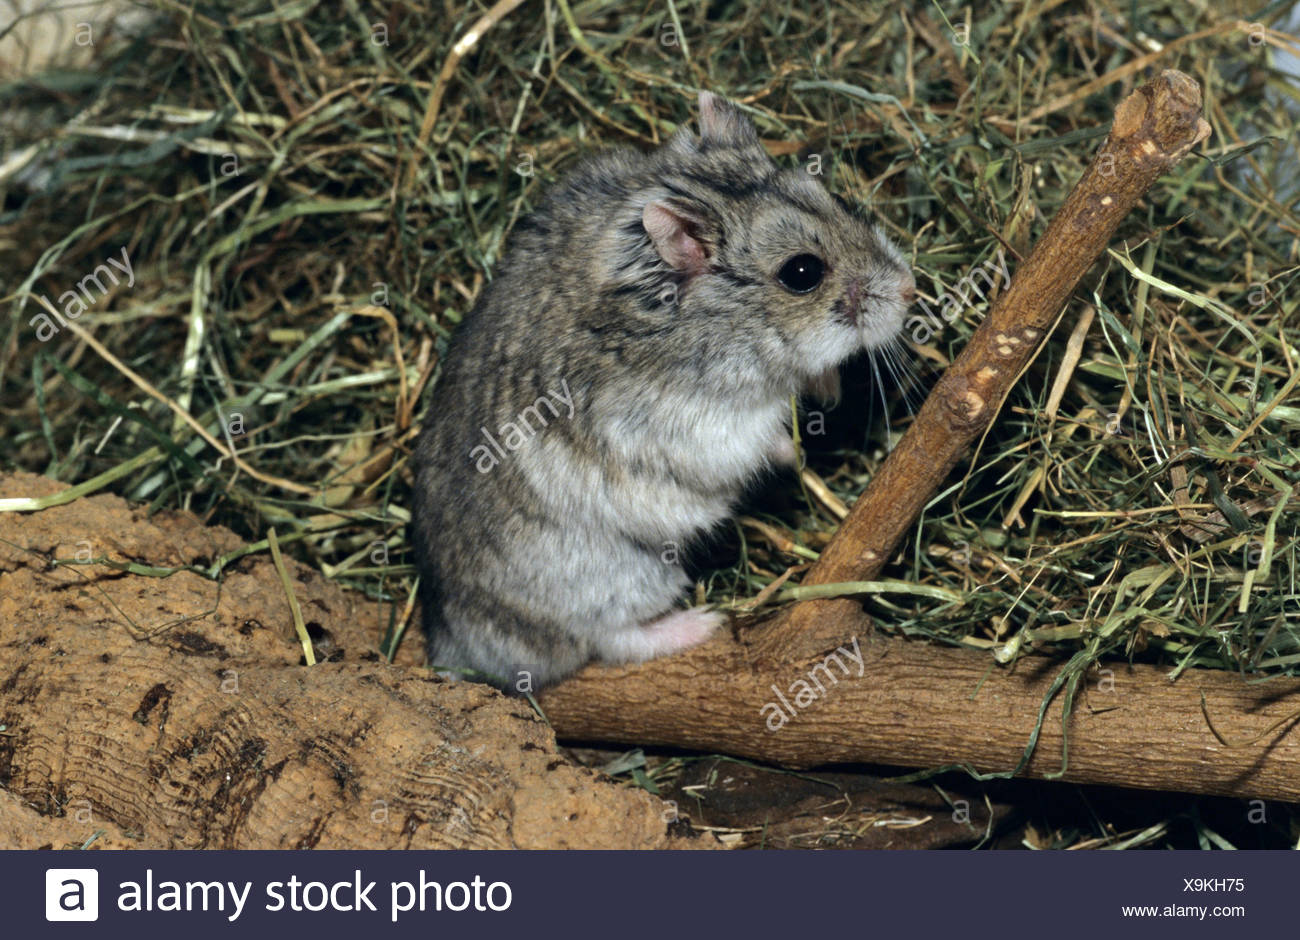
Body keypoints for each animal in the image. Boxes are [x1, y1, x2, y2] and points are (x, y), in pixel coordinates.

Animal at [409, 92, 914, 690]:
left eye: (837, 199)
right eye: (802, 272)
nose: (911, 288)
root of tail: (448, 643)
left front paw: (829, 391)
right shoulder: (704, 431)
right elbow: (760, 442)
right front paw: (796, 452)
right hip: (623, 577)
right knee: (610, 641)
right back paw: (701, 622)